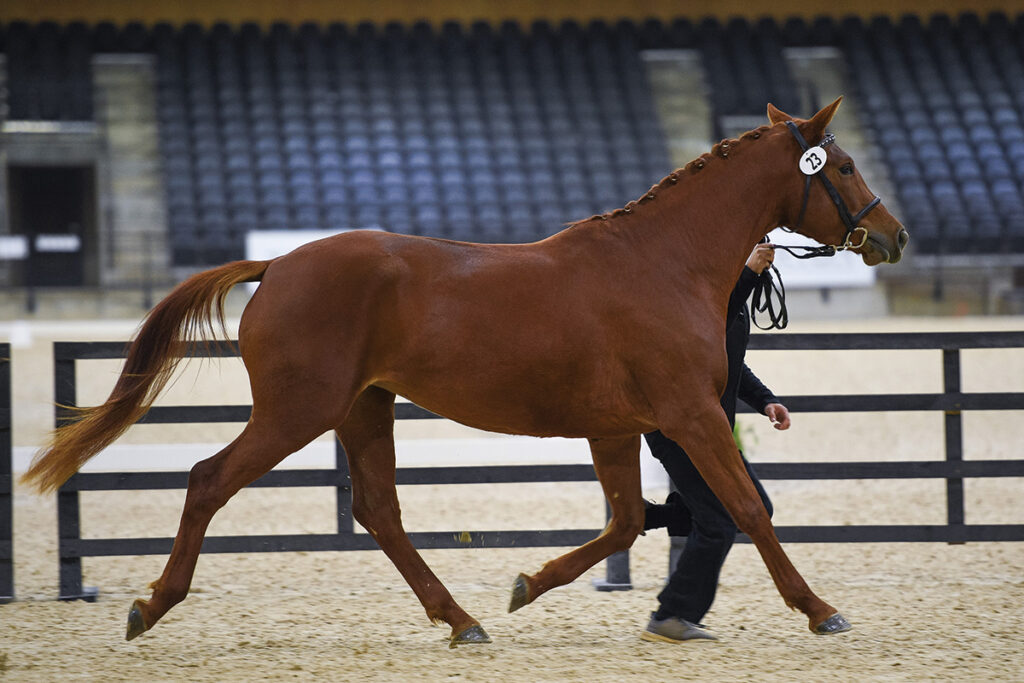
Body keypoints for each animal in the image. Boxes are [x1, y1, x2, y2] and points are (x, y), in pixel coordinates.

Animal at [23, 98, 907, 646]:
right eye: (846, 166)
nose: (894, 236)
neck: (662, 262)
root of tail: (276, 265)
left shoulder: (619, 427)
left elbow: (628, 521)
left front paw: (527, 583)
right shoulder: (689, 412)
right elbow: (747, 511)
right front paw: (821, 610)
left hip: (364, 407)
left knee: (379, 511)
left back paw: (461, 618)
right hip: (296, 411)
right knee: (210, 479)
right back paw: (150, 606)